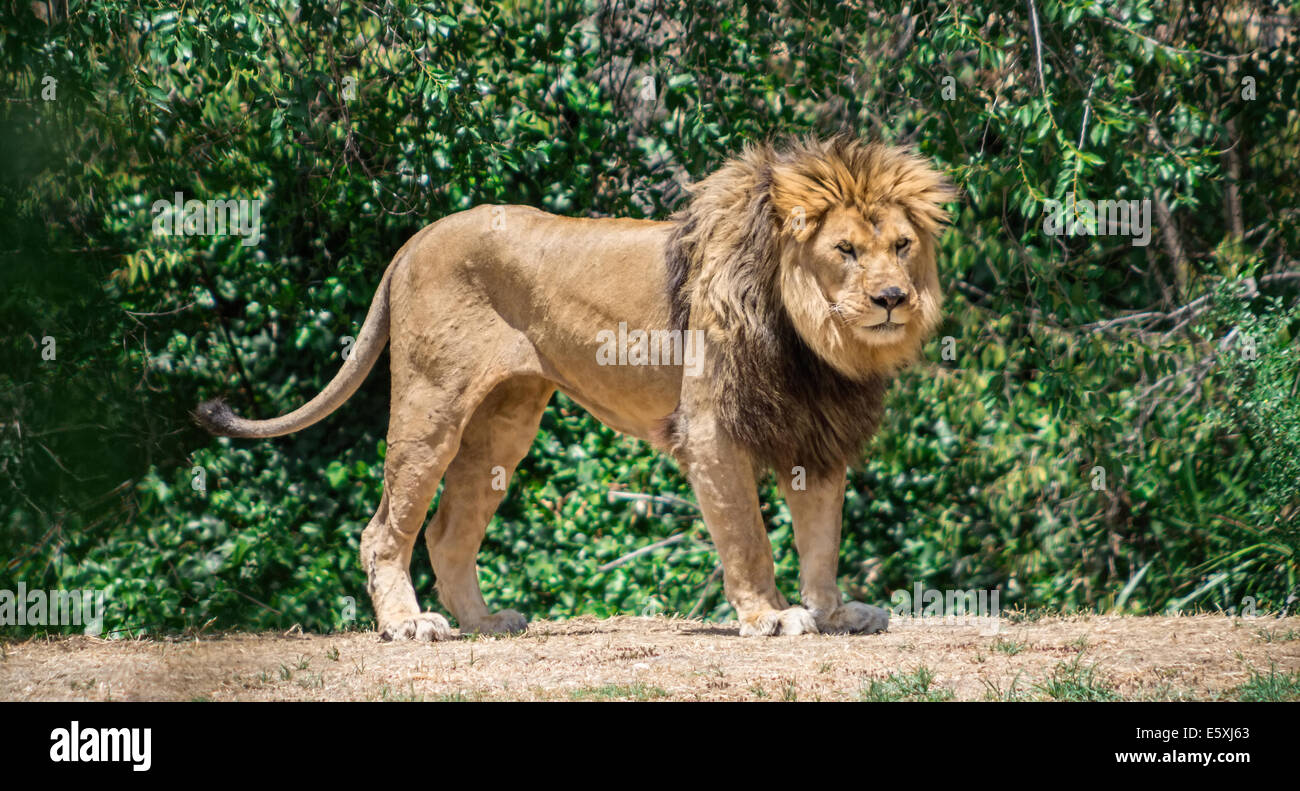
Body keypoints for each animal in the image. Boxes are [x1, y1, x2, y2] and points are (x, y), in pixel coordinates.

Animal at [196, 136, 954, 639]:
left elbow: (822, 538)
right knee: (384, 529)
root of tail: (414, 240)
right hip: (430, 406)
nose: (893, 299)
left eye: (902, 246)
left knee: (447, 530)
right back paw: (411, 625)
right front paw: (768, 615)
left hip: (503, 425)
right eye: (845, 250)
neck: (817, 343)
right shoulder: (711, 429)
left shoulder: (816, 432)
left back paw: (485, 620)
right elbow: (748, 536)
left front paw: (835, 611)